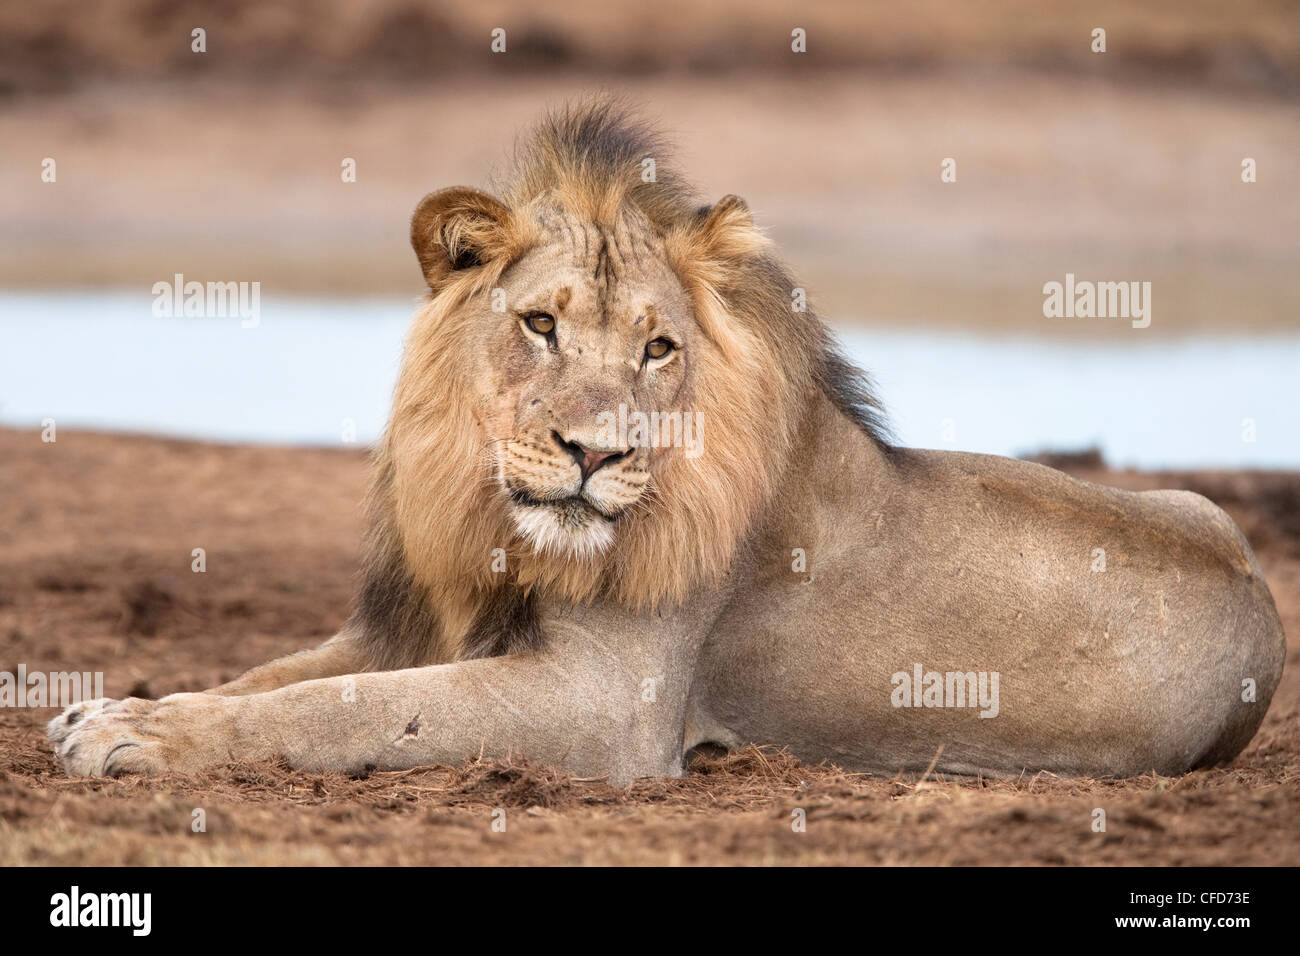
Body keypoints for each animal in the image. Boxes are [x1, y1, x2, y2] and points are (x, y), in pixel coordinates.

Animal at [49, 100, 1285, 784]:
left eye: (656, 349)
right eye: (540, 324)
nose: (594, 455)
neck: (497, 529)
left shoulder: (607, 703)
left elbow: (333, 710)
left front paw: (132, 739)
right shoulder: (404, 630)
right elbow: (270, 679)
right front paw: (111, 710)